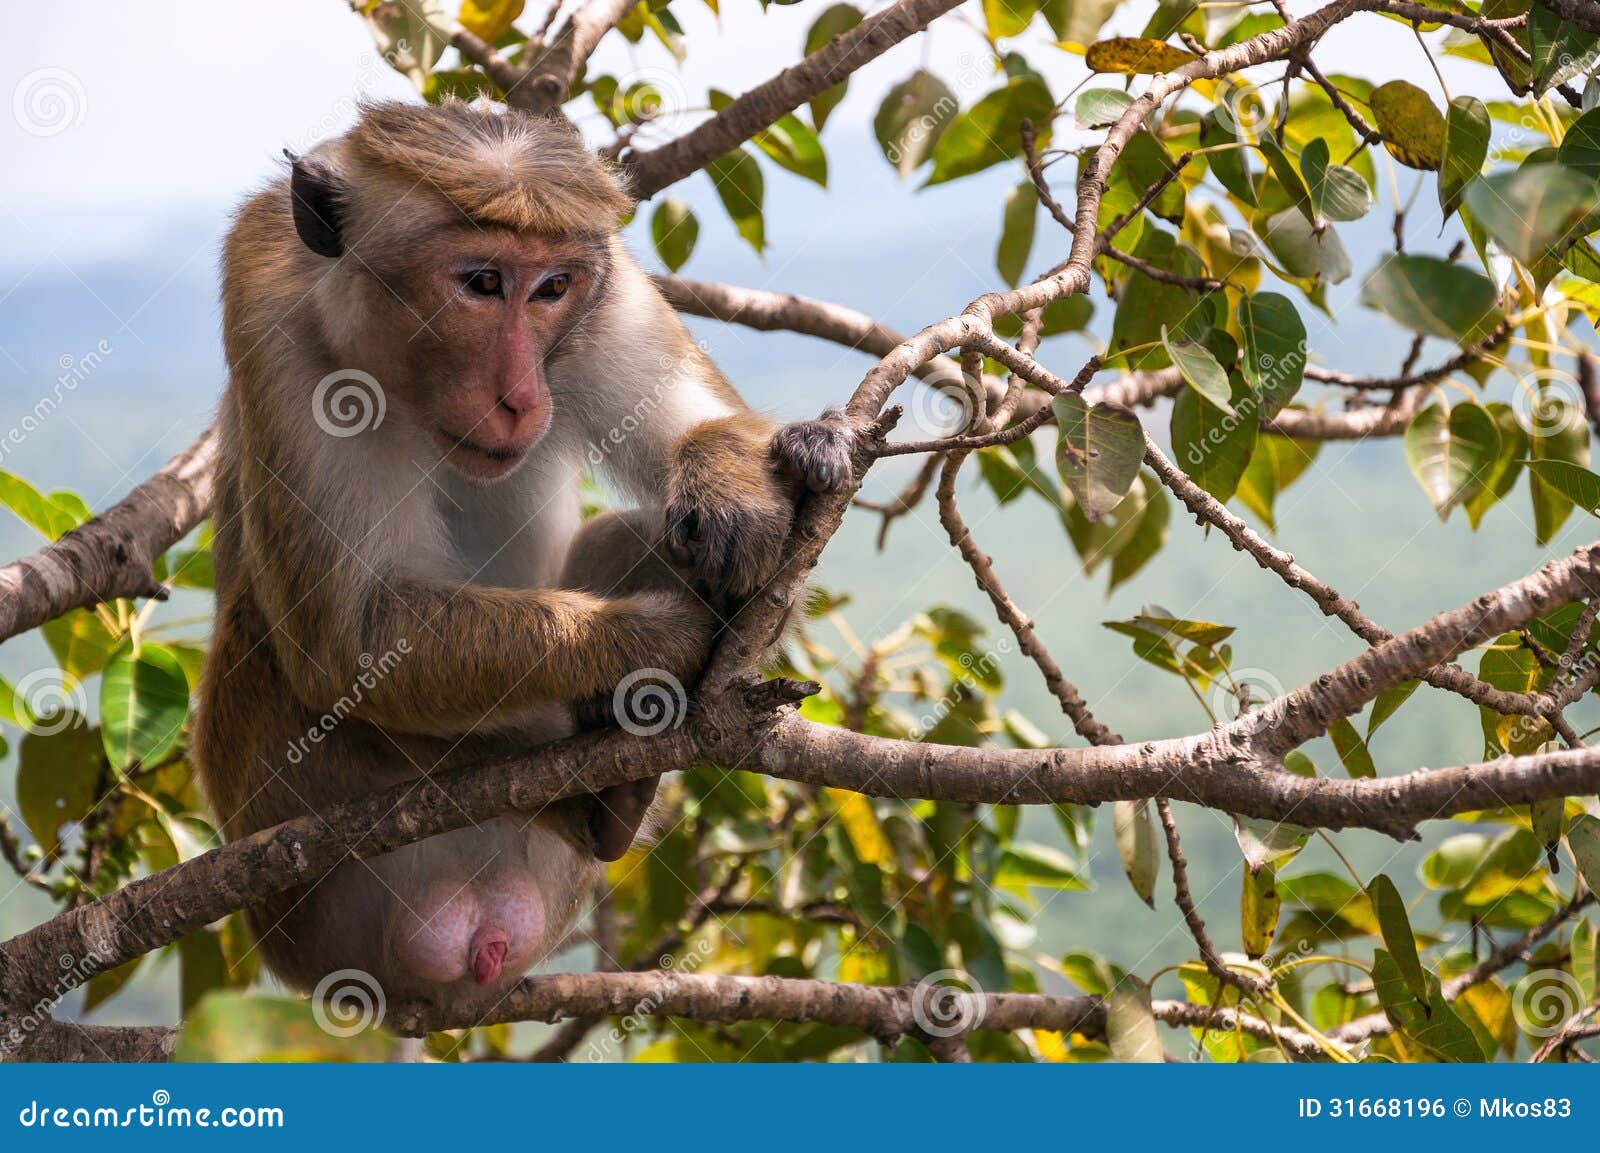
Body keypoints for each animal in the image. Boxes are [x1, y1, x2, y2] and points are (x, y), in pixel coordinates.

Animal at [192, 100, 854, 1001]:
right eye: (480, 283)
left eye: (550, 289)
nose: (521, 397)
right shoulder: (268, 300)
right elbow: (350, 637)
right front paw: (657, 640)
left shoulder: (612, 291)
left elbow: (705, 431)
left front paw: (749, 483)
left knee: (640, 532)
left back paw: (616, 801)